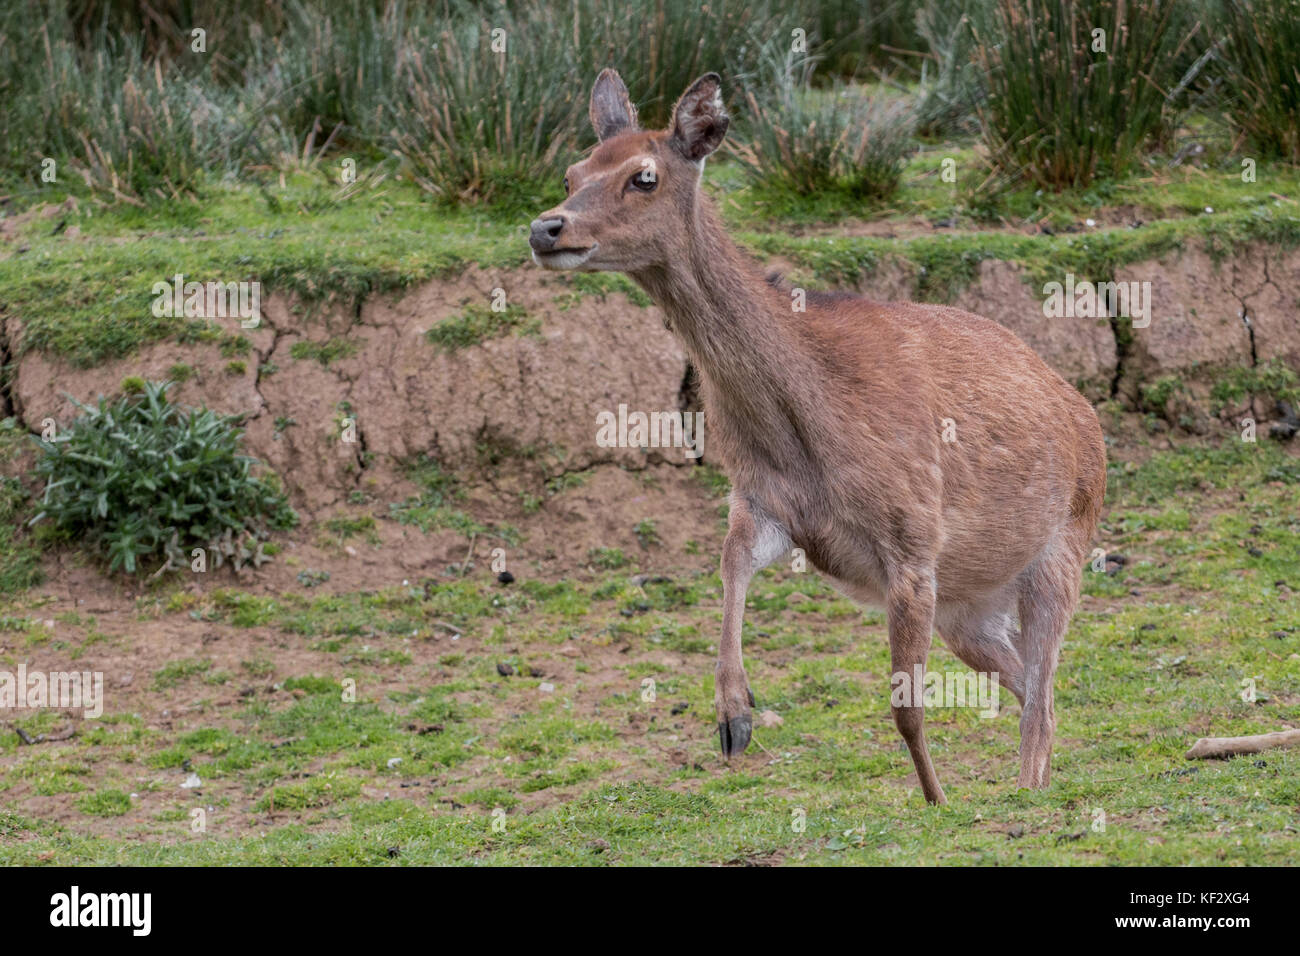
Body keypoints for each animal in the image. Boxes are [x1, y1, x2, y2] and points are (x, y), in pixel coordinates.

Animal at [528, 70, 1107, 803]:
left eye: (644, 176)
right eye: (573, 170)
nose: (545, 228)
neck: (806, 424)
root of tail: (1086, 415)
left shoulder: (913, 536)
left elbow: (906, 707)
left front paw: (937, 801)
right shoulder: (766, 503)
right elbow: (730, 564)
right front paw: (734, 717)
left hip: (1061, 552)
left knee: (1043, 693)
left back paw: (1027, 789)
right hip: (970, 610)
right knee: (1033, 686)